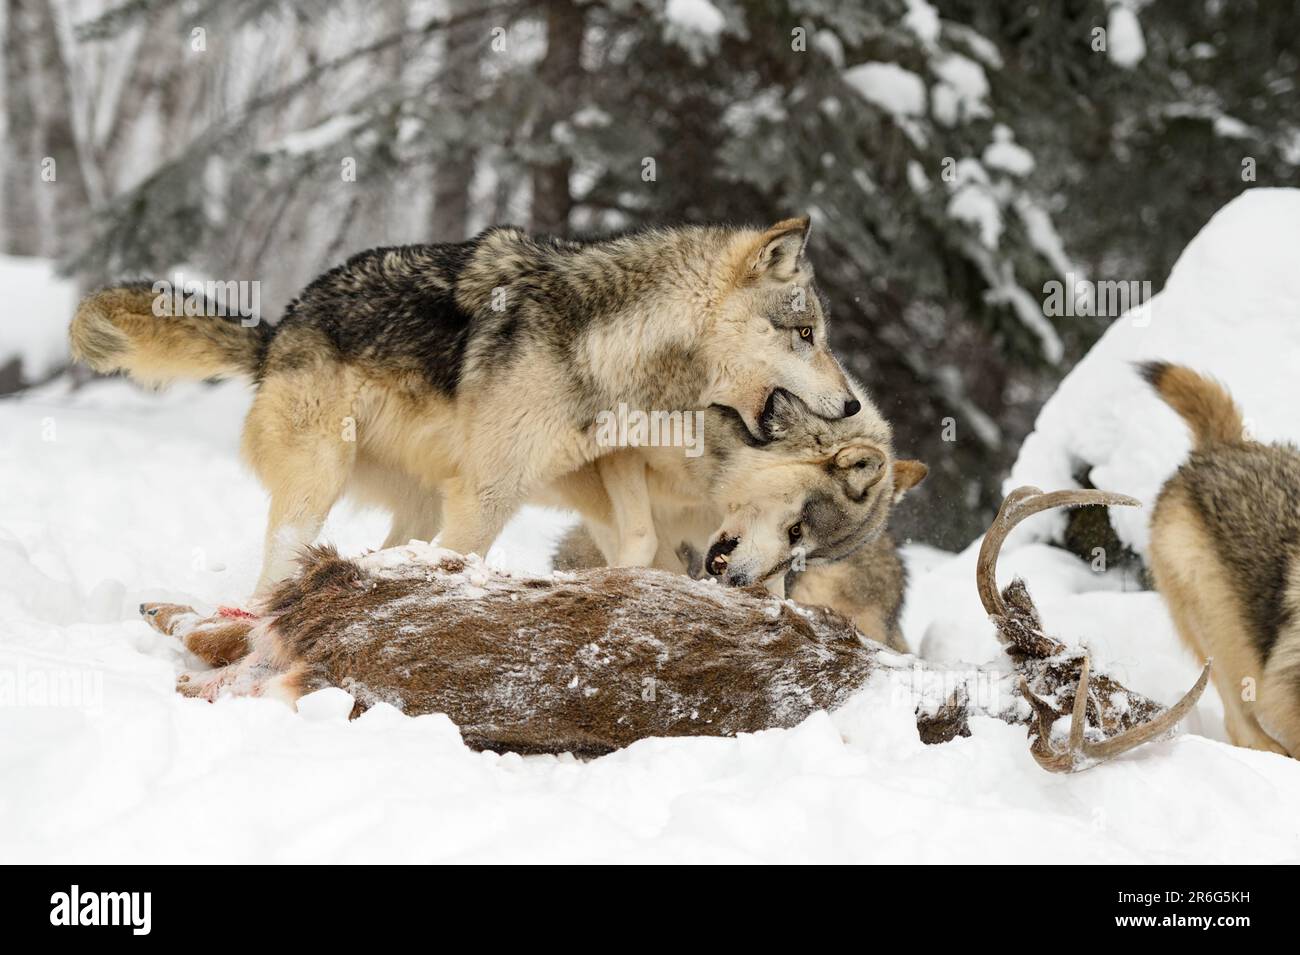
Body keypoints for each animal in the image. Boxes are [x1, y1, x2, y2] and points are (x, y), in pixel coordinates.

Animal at [70, 218, 861, 591]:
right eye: (807, 335)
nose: (854, 406)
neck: (608, 341)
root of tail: (278, 328)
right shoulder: (488, 494)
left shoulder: (587, 471)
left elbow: (639, 544)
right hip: (319, 484)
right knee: (279, 566)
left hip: (417, 506)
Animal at [141, 486, 1208, 772]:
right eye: (1092, 676)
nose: (1165, 709)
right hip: (413, 563)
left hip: (378, 590)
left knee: (223, 646)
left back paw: (161, 612)